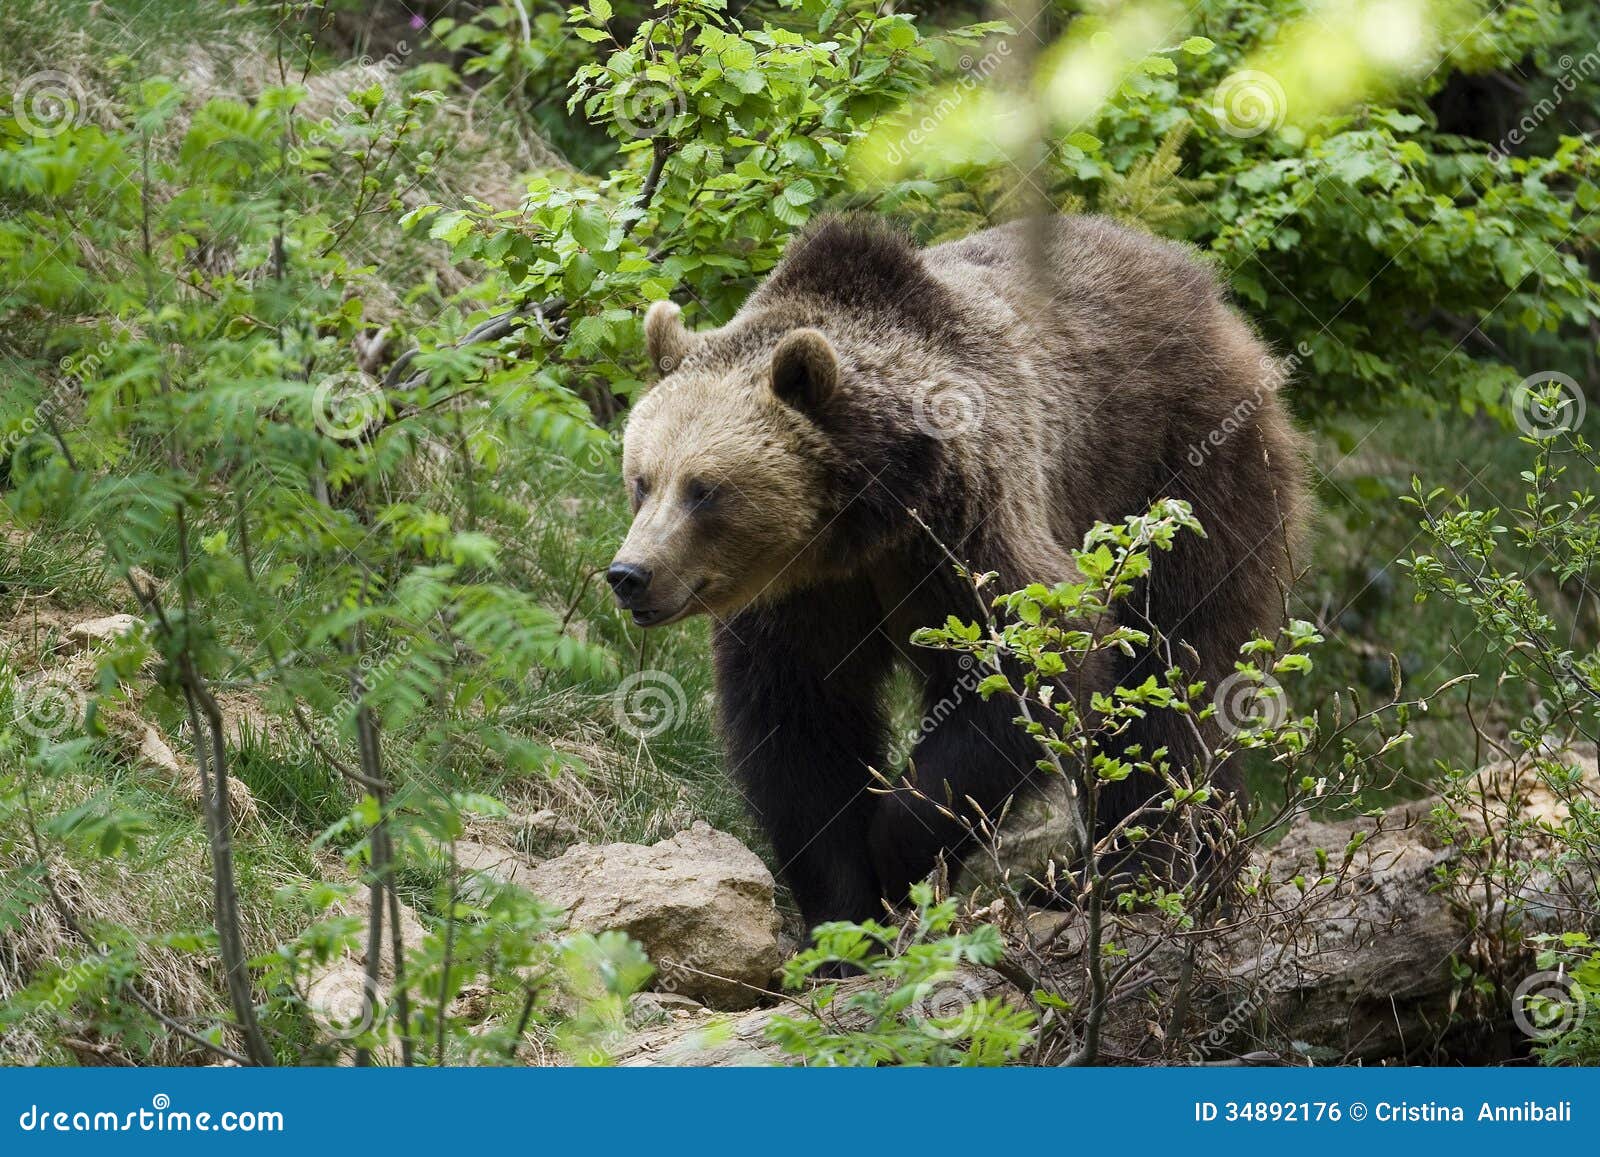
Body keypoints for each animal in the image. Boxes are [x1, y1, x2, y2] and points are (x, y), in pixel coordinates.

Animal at [608, 214, 1309, 931]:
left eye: (704, 491)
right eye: (642, 479)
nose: (630, 574)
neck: (862, 521)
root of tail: (1215, 302)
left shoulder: (964, 529)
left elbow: (1026, 666)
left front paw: (899, 844)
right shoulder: (806, 596)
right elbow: (799, 726)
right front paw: (844, 907)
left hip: (1182, 477)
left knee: (1172, 664)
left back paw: (1151, 870)